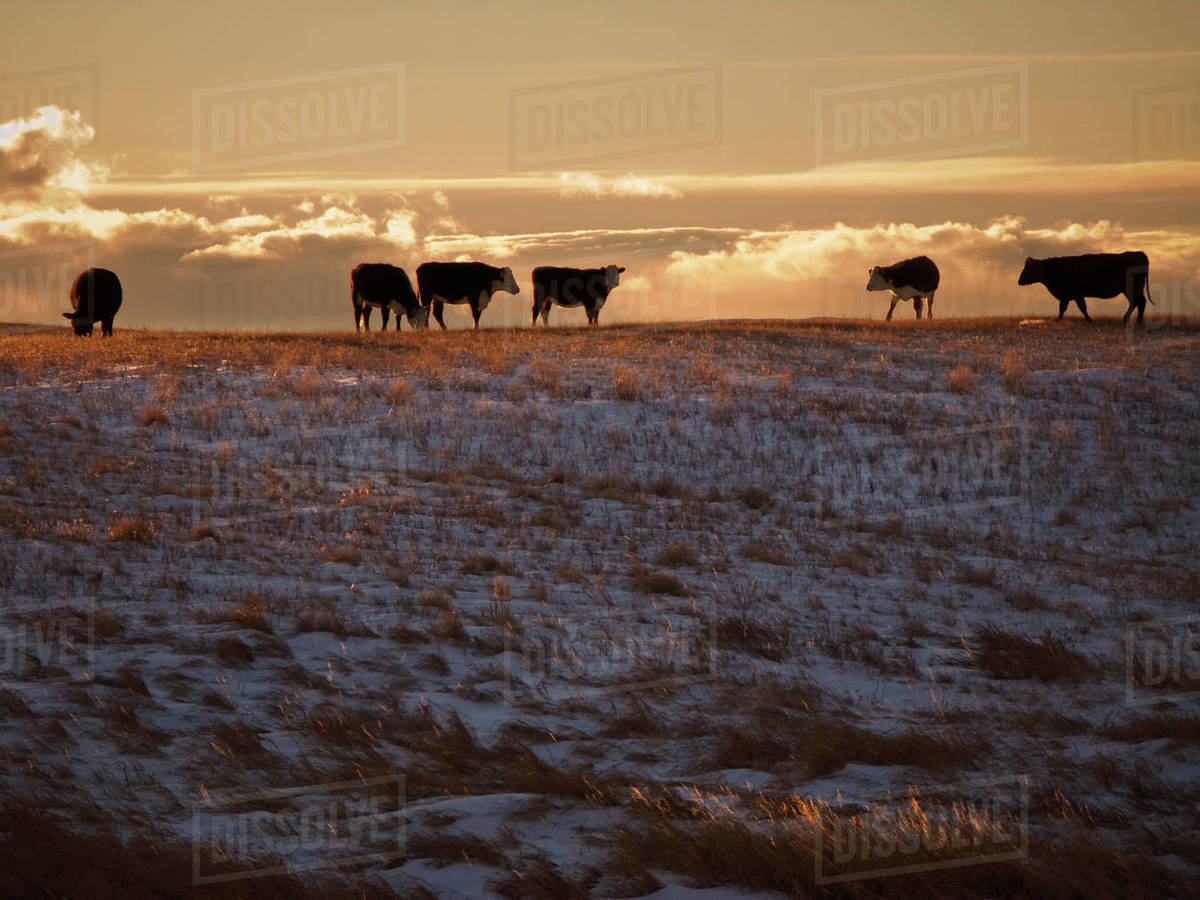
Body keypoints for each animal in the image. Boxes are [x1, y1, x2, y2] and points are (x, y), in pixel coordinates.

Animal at [1018, 252, 1153, 325]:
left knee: (1138, 302)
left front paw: (1090, 321)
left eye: (1028, 269)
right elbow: (1063, 310)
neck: (1052, 269)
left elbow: (1081, 308)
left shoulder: (1075, 295)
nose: (1019, 281)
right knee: (1139, 302)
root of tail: (1140, 253)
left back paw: (1131, 320)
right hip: (1132, 290)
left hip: (1131, 289)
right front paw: (1058, 320)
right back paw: (1135, 321)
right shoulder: (1067, 297)